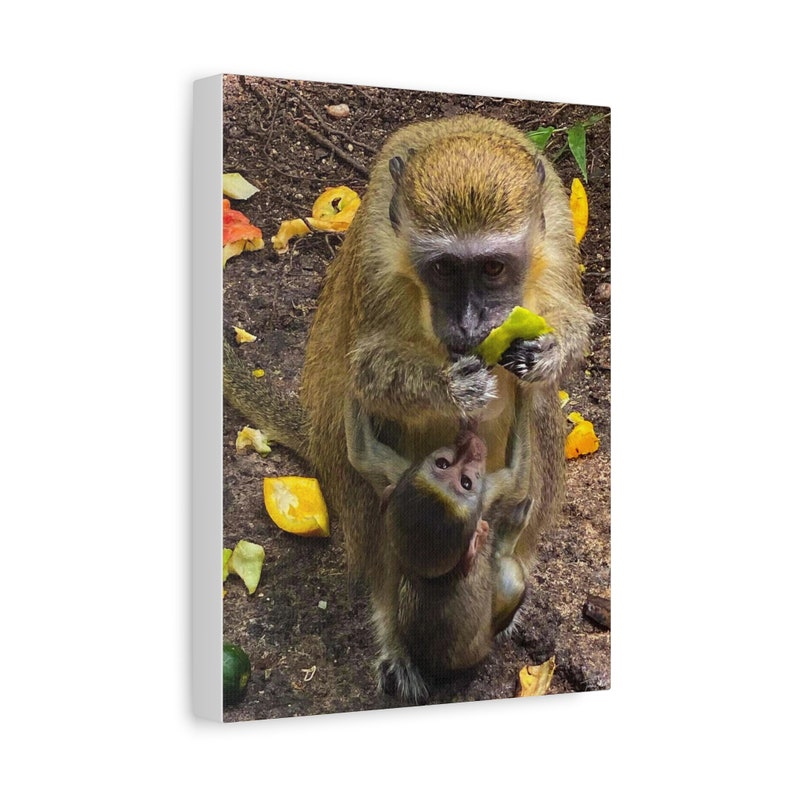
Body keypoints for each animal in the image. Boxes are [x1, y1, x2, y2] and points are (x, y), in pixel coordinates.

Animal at [224, 114, 593, 703]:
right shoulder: (377, 250)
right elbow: (364, 371)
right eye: (443, 268)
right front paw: (454, 387)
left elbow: (571, 327)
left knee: (537, 414)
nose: (469, 325)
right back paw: (396, 630)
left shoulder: (556, 228)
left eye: (493, 267)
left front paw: (547, 352)